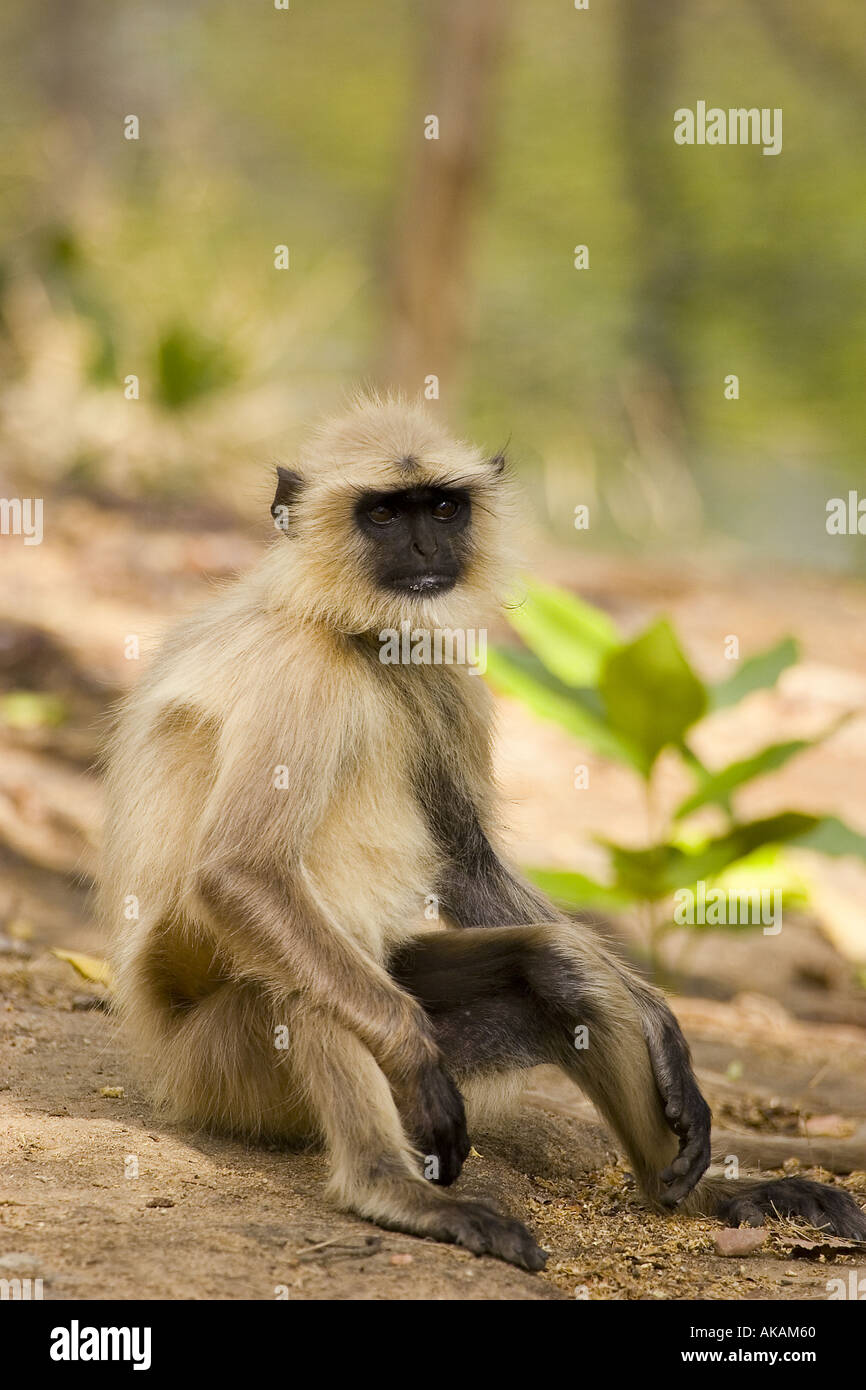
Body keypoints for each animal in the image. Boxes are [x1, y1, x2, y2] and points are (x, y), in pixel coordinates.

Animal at [101, 394, 866, 1271]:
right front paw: (411, 1060)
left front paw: (661, 1024)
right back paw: (390, 1189)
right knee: (300, 970)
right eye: (384, 514)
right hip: (221, 1070)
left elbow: (468, 864)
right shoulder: (300, 672)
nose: (425, 549)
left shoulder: (440, 668)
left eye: (441, 508)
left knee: (557, 962)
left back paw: (696, 1195)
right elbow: (239, 872)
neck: (349, 632)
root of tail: (162, 1072)